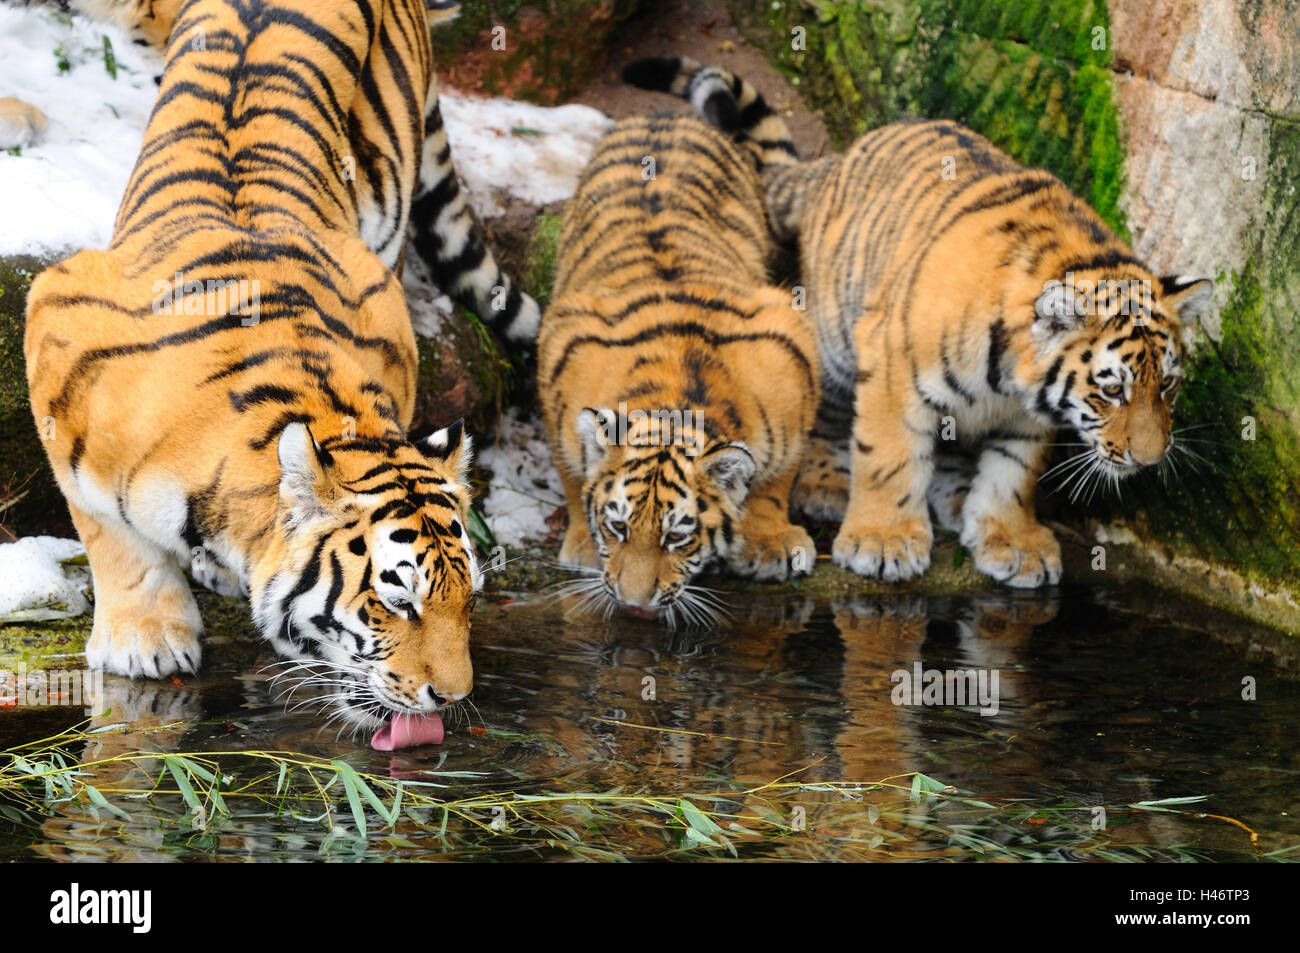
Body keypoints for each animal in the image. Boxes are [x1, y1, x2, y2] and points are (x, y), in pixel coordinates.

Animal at [25, 0, 502, 750]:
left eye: (470, 597)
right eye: (398, 599)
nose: (452, 698)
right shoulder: (58, 315)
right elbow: (107, 528)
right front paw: (145, 642)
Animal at [538, 113, 820, 624]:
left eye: (676, 537)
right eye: (618, 527)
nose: (633, 604)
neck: (676, 397)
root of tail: (661, 117)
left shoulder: (794, 359)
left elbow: (777, 477)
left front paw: (769, 541)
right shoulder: (561, 353)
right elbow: (571, 470)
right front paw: (584, 544)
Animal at [625, 57, 1214, 589]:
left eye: (1169, 386)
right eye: (1112, 390)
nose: (1148, 460)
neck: (1011, 379)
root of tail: (838, 160)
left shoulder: (1028, 415)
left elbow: (1012, 474)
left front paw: (1011, 542)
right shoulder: (892, 370)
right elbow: (889, 457)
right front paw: (883, 541)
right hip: (835, 340)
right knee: (832, 418)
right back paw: (828, 484)